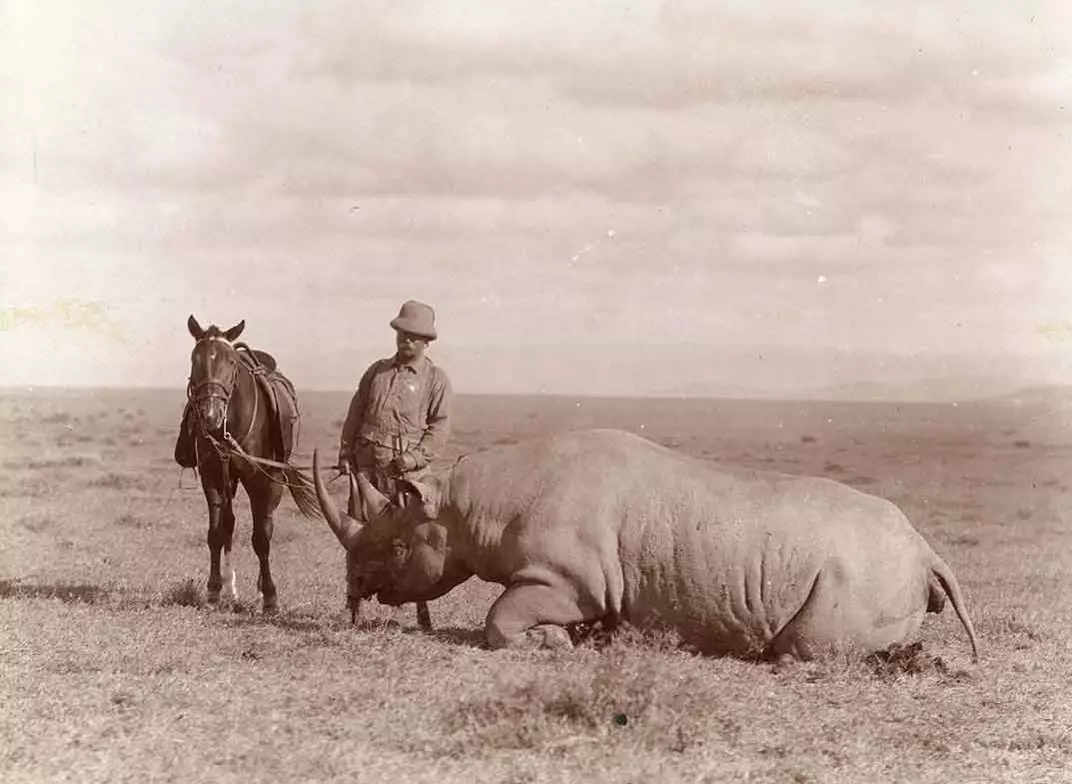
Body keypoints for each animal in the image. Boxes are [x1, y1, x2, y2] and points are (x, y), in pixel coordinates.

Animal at [177, 315, 313, 617]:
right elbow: (216, 533)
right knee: (229, 524)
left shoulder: (265, 480)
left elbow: (261, 537)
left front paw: (270, 597)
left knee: (263, 526)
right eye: (194, 359)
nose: (211, 414)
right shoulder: (213, 477)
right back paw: (230, 587)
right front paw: (214, 590)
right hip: (230, 479)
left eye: (230, 362)